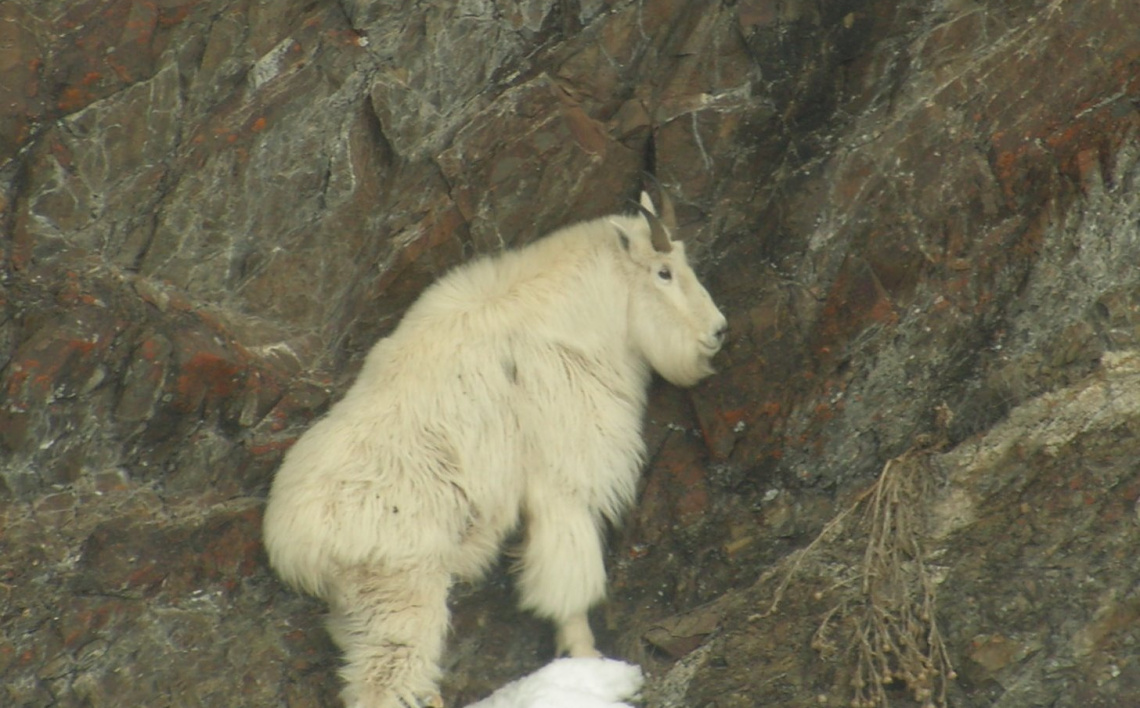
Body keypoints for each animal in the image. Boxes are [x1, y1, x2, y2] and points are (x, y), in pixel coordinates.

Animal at [263, 190, 727, 708]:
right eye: (663, 272)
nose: (717, 330)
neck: (578, 316)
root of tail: (292, 545)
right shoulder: (560, 477)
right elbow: (570, 582)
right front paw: (588, 663)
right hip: (398, 591)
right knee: (386, 683)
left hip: (357, 611)